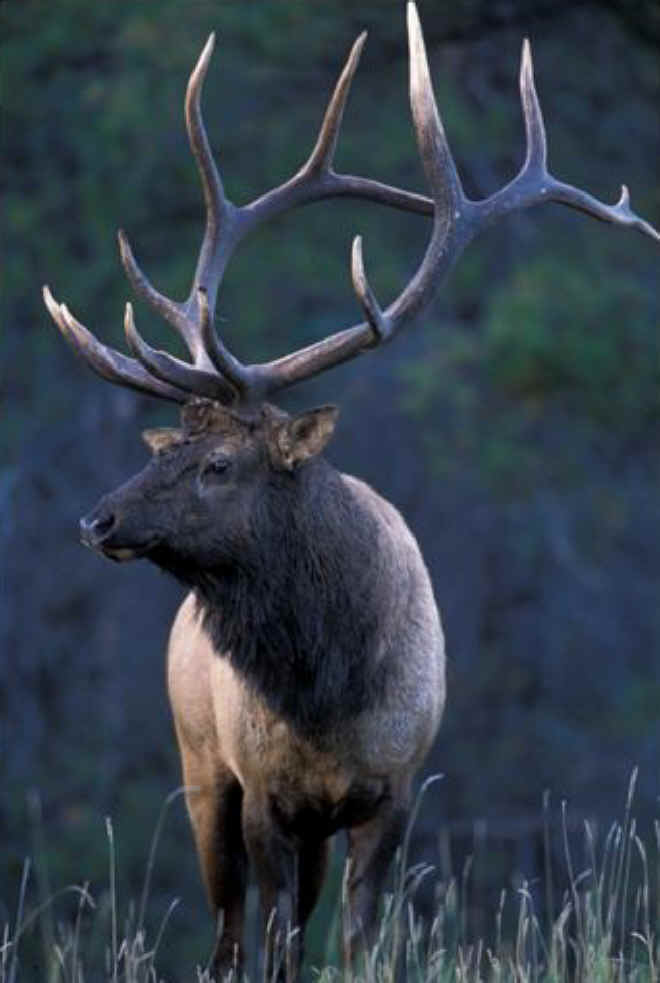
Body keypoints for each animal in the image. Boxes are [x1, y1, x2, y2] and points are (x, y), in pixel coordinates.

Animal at [43, 4, 658, 979]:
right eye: (174, 444)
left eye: (219, 465)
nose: (97, 517)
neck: (328, 693)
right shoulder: (263, 791)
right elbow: (276, 943)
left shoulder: (393, 790)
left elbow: (362, 942)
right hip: (198, 765)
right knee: (225, 931)